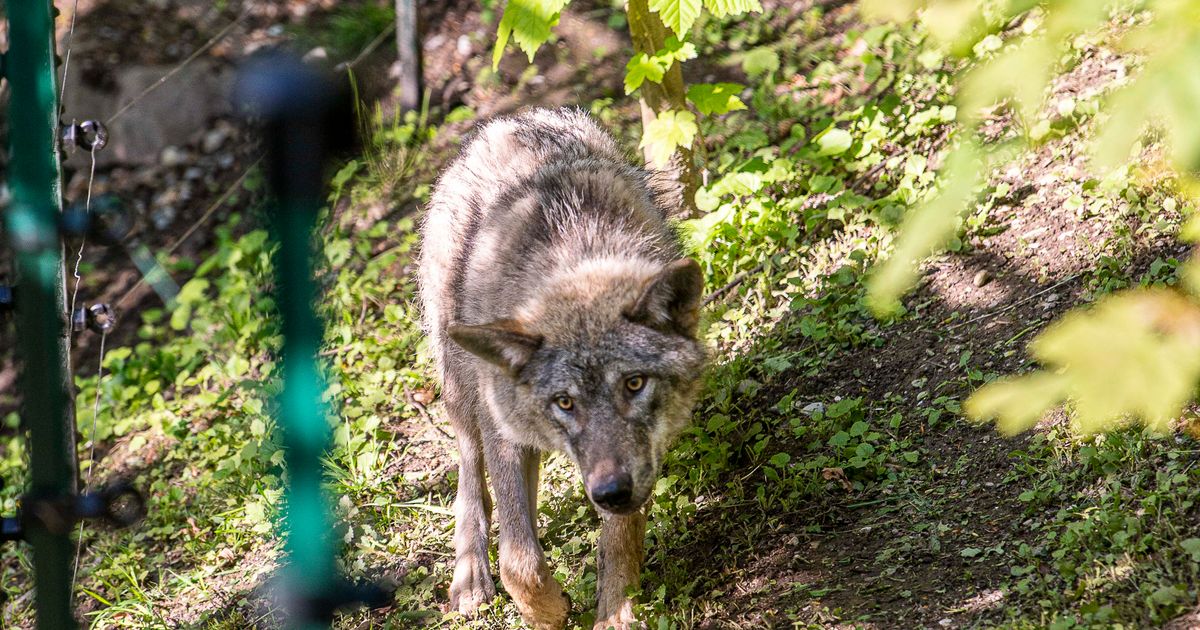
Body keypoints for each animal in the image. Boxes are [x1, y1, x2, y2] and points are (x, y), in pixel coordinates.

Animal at [418, 107, 707, 629]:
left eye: (635, 384)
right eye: (565, 402)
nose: (610, 493)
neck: (573, 257)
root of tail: (506, 121)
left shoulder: (635, 462)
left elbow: (618, 536)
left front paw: (615, 611)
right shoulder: (505, 431)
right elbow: (519, 560)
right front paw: (549, 613)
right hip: (459, 382)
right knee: (470, 466)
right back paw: (469, 576)